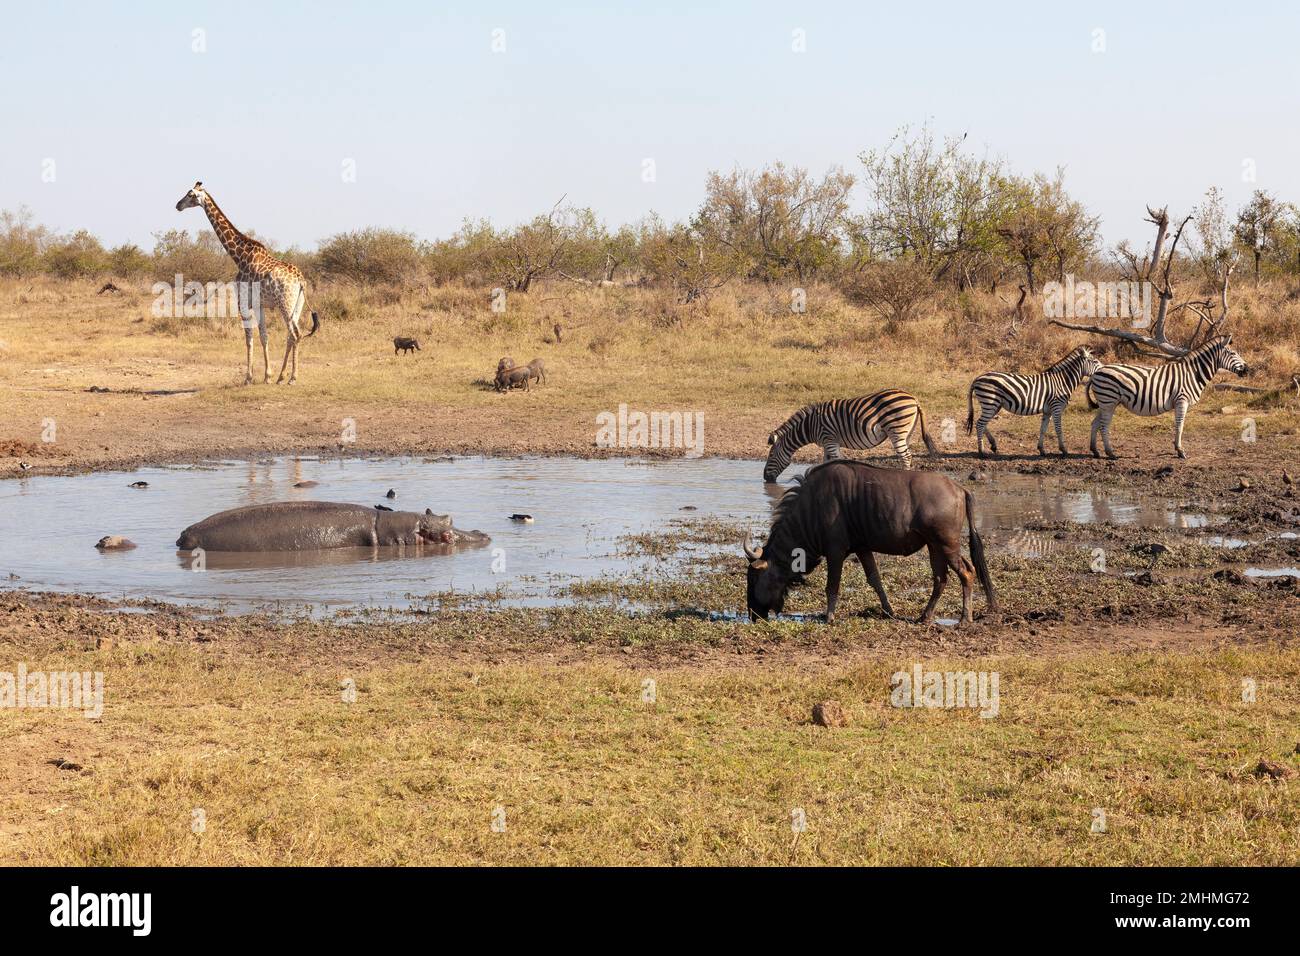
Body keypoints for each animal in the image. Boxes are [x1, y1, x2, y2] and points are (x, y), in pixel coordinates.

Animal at [175, 181, 319, 384]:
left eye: (190, 194)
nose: (178, 205)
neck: (238, 257)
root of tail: (300, 280)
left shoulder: (242, 302)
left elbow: (249, 338)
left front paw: (248, 377)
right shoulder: (258, 304)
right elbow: (264, 336)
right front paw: (267, 376)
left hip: (285, 303)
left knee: (295, 334)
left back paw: (292, 378)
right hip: (297, 305)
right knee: (292, 335)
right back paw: (282, 376)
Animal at [763, 389, 937, 482]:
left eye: (771, 455)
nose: (765, 478)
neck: (810, 425)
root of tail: (914, 398)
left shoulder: (829, 439)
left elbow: (835, 460)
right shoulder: (827, 442)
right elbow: (825, 461)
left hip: (896, 430)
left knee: (906, 456)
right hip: (906, 432)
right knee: (907, 455)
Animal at [965, 346, 1102, 457]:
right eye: (1095, 361)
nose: (1103, 370)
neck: (1062, 381)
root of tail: (978, 378)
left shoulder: (1048, 411)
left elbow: (1043, 429)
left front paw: (1041, 450)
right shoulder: (1056, 407)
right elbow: (1058, 429)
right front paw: (1063, 450)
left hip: (995, 405)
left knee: (982, 423)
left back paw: (993, 445)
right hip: (990, 402)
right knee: (980, 424)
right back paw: (981, 452)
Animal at [1088, 335, 1248, 459]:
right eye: (1233, 354)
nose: (1247, 370)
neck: (1193, 373)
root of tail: (1097, 372)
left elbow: (1179, 425)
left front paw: (1178, 449)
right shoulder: (1181, 400)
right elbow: (1180, 425)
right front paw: (1180, 451)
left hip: (1106, 403)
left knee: (1095, 423)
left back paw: (1095, 451)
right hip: (1109, 401)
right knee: (1103, 426)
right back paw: (1110, 454)